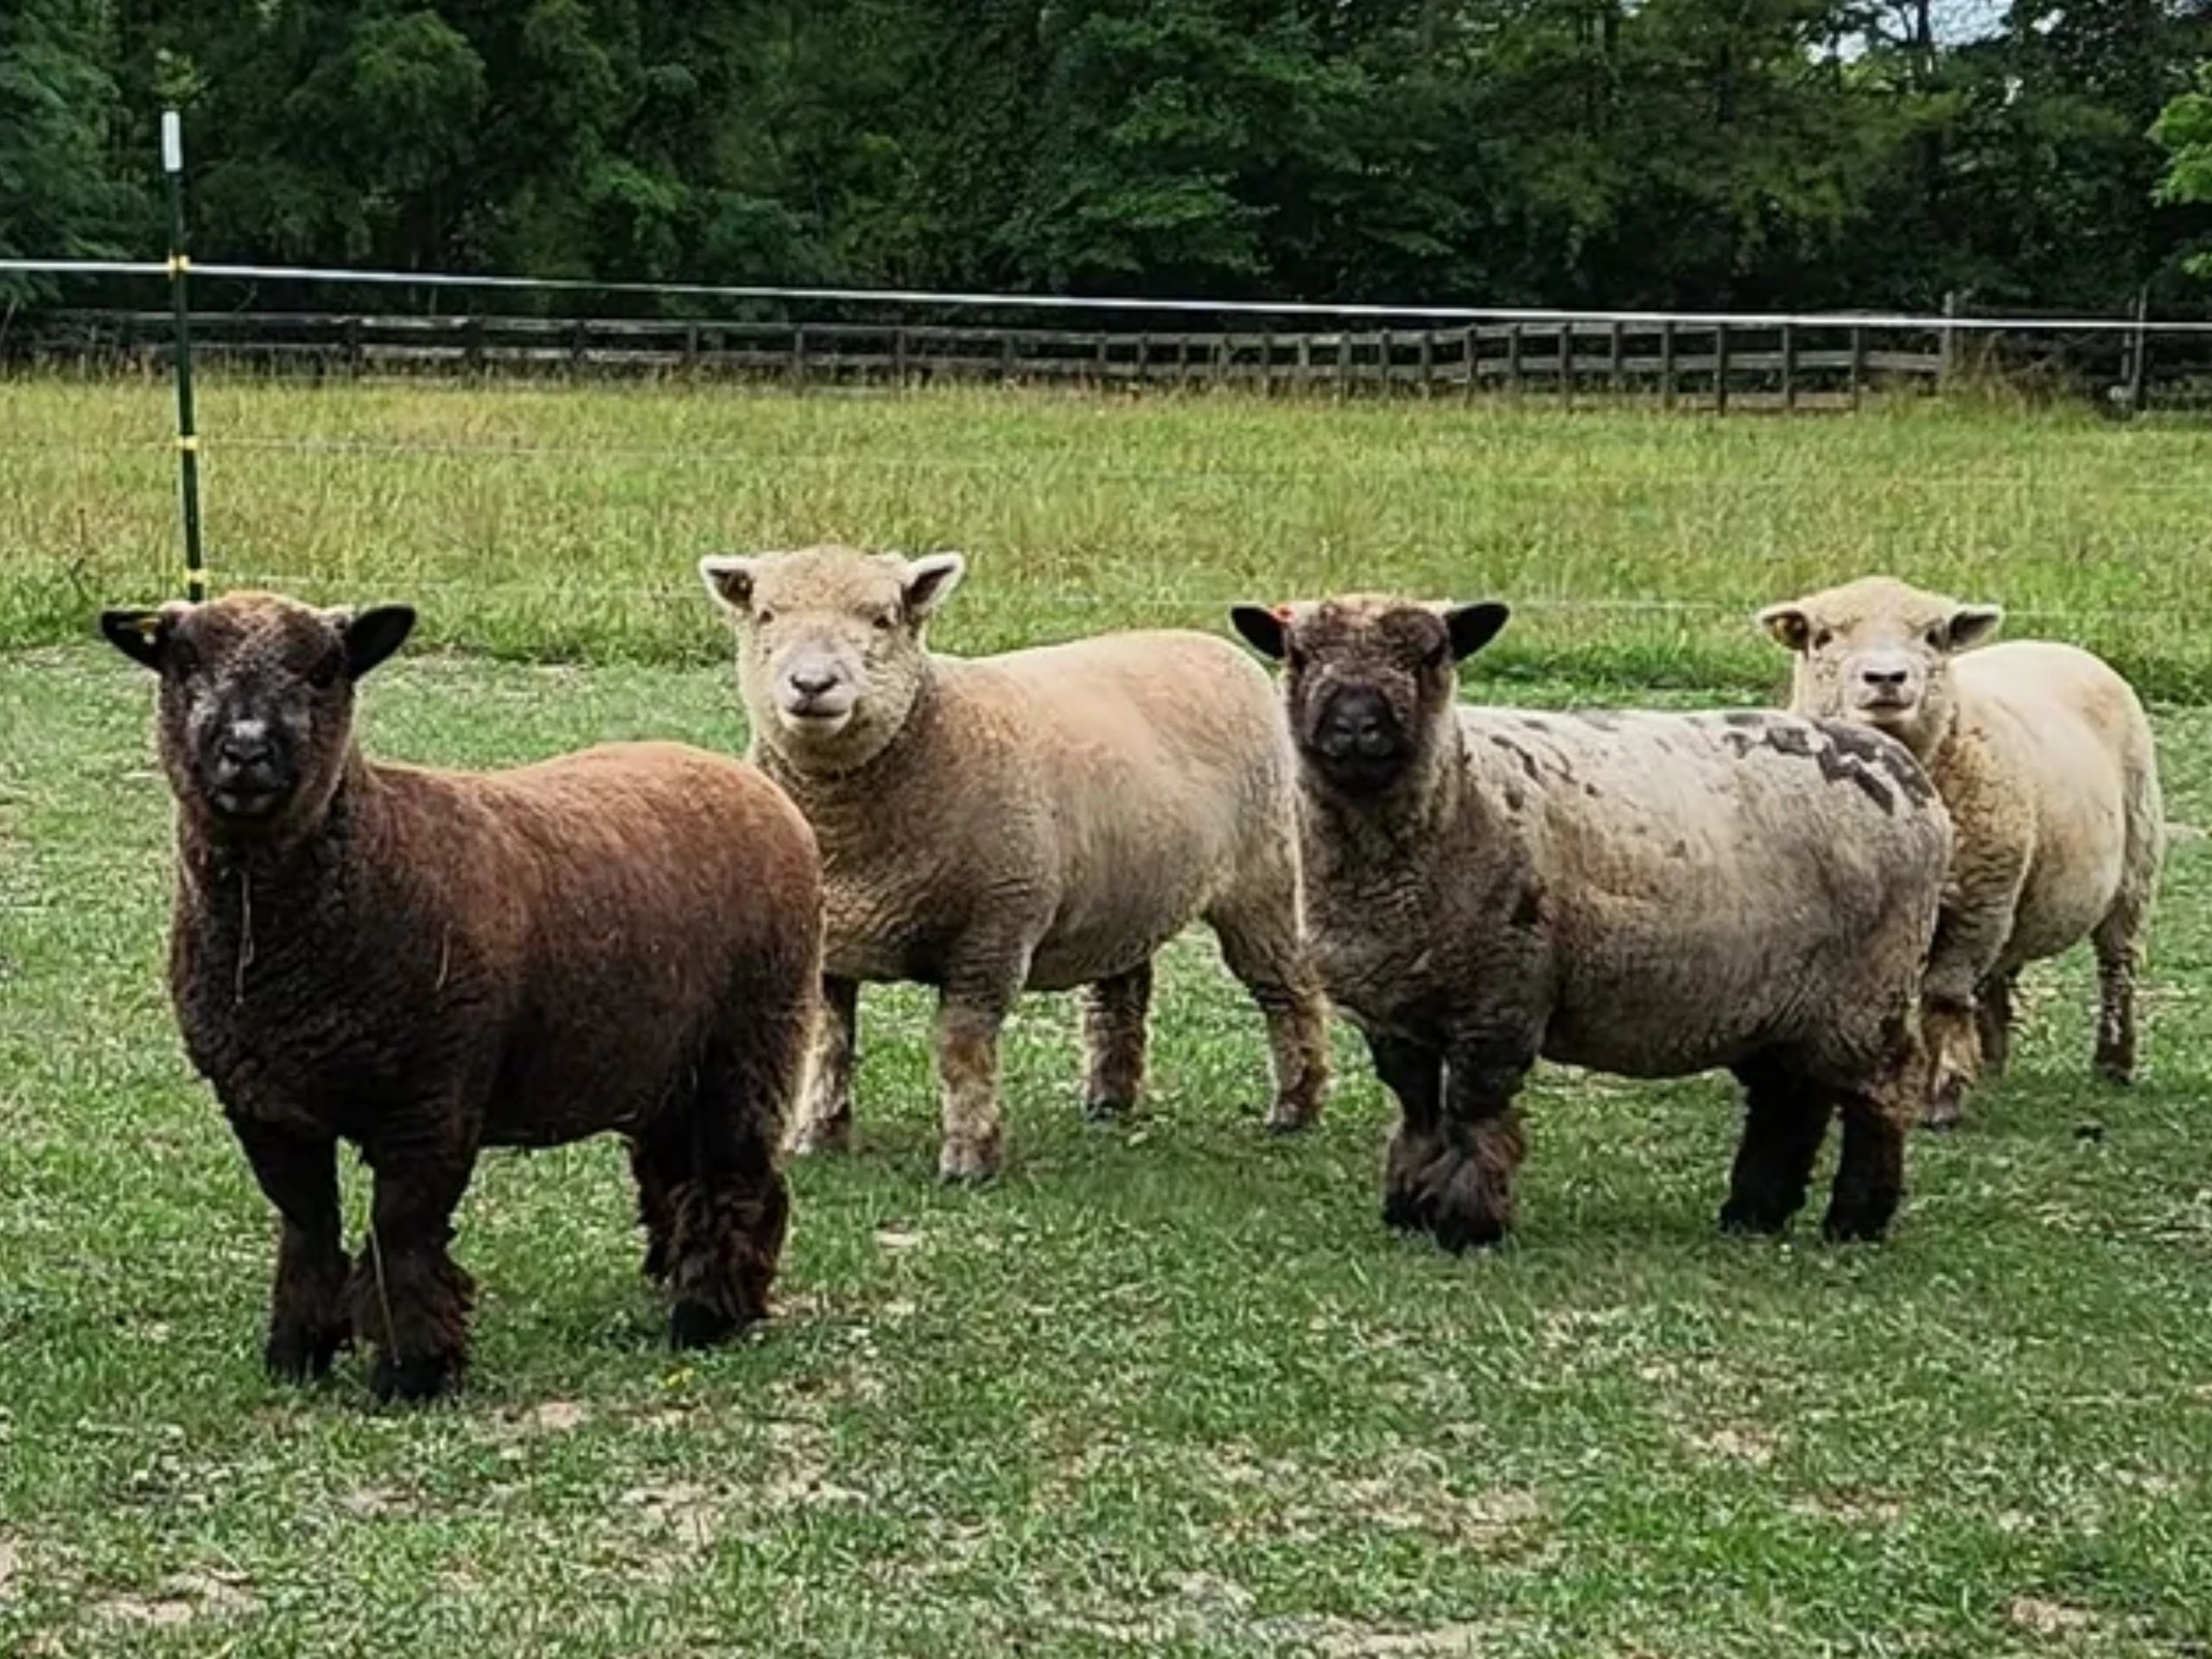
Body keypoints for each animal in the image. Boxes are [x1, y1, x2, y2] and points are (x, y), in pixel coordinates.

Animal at [99, 591, 822, 1401]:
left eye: (325, 670)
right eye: (182, 663)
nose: (247, 751)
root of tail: (753, 784)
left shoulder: (433, 1098)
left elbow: (402, 1236)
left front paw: (413, 1372)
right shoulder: (265, 1105)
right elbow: (309, 1227)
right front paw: (297, 1354)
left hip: (756, 1034)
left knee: (739, 1178)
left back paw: (706, 1316)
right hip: (667, 1060)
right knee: (679, 1171)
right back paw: (692, 1285)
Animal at [698, 545, 1329, 1182]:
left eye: (883, 618)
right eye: (767, 615)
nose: (812, 684)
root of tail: (1218, 648)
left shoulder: (993, 932)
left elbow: (962, 1048)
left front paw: (969, 1157)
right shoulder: (830, 944)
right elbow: (828, 1044)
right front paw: (817, 1135)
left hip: (1265, 877)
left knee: (1287, 987)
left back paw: (1295, 1105)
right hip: (1130, 885)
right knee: (1124, 985)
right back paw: (1110, 1098)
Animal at [1230, 594, 1950, 1250]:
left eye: (1431, 654)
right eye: (1298, 655)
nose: (1356, 727)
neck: (1455, 796)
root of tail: (1904, 771)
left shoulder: (1501, 999)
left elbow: (1471, 1114)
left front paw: (1466, 1223)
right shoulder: (1397, 1012)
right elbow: (1418, 1111)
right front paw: (1409, 1207)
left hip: (1868, 987)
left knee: (1879, 1095)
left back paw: (1855, 1220)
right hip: (1784, 996)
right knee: (1788, 1099)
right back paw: (1753, 1213)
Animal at [1758, 575, 2164, 1126]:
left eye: (1935, 636)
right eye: (1821, 637)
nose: (1886, 678)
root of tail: (2057, 645)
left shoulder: (1974, 907)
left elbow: (1945, 996)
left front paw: (1944, 1095)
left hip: (2133, 868)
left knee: (2116, 966)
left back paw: (2113, 1061)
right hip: (2015, 897)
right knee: (1999, 976)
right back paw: (1991, 1059)